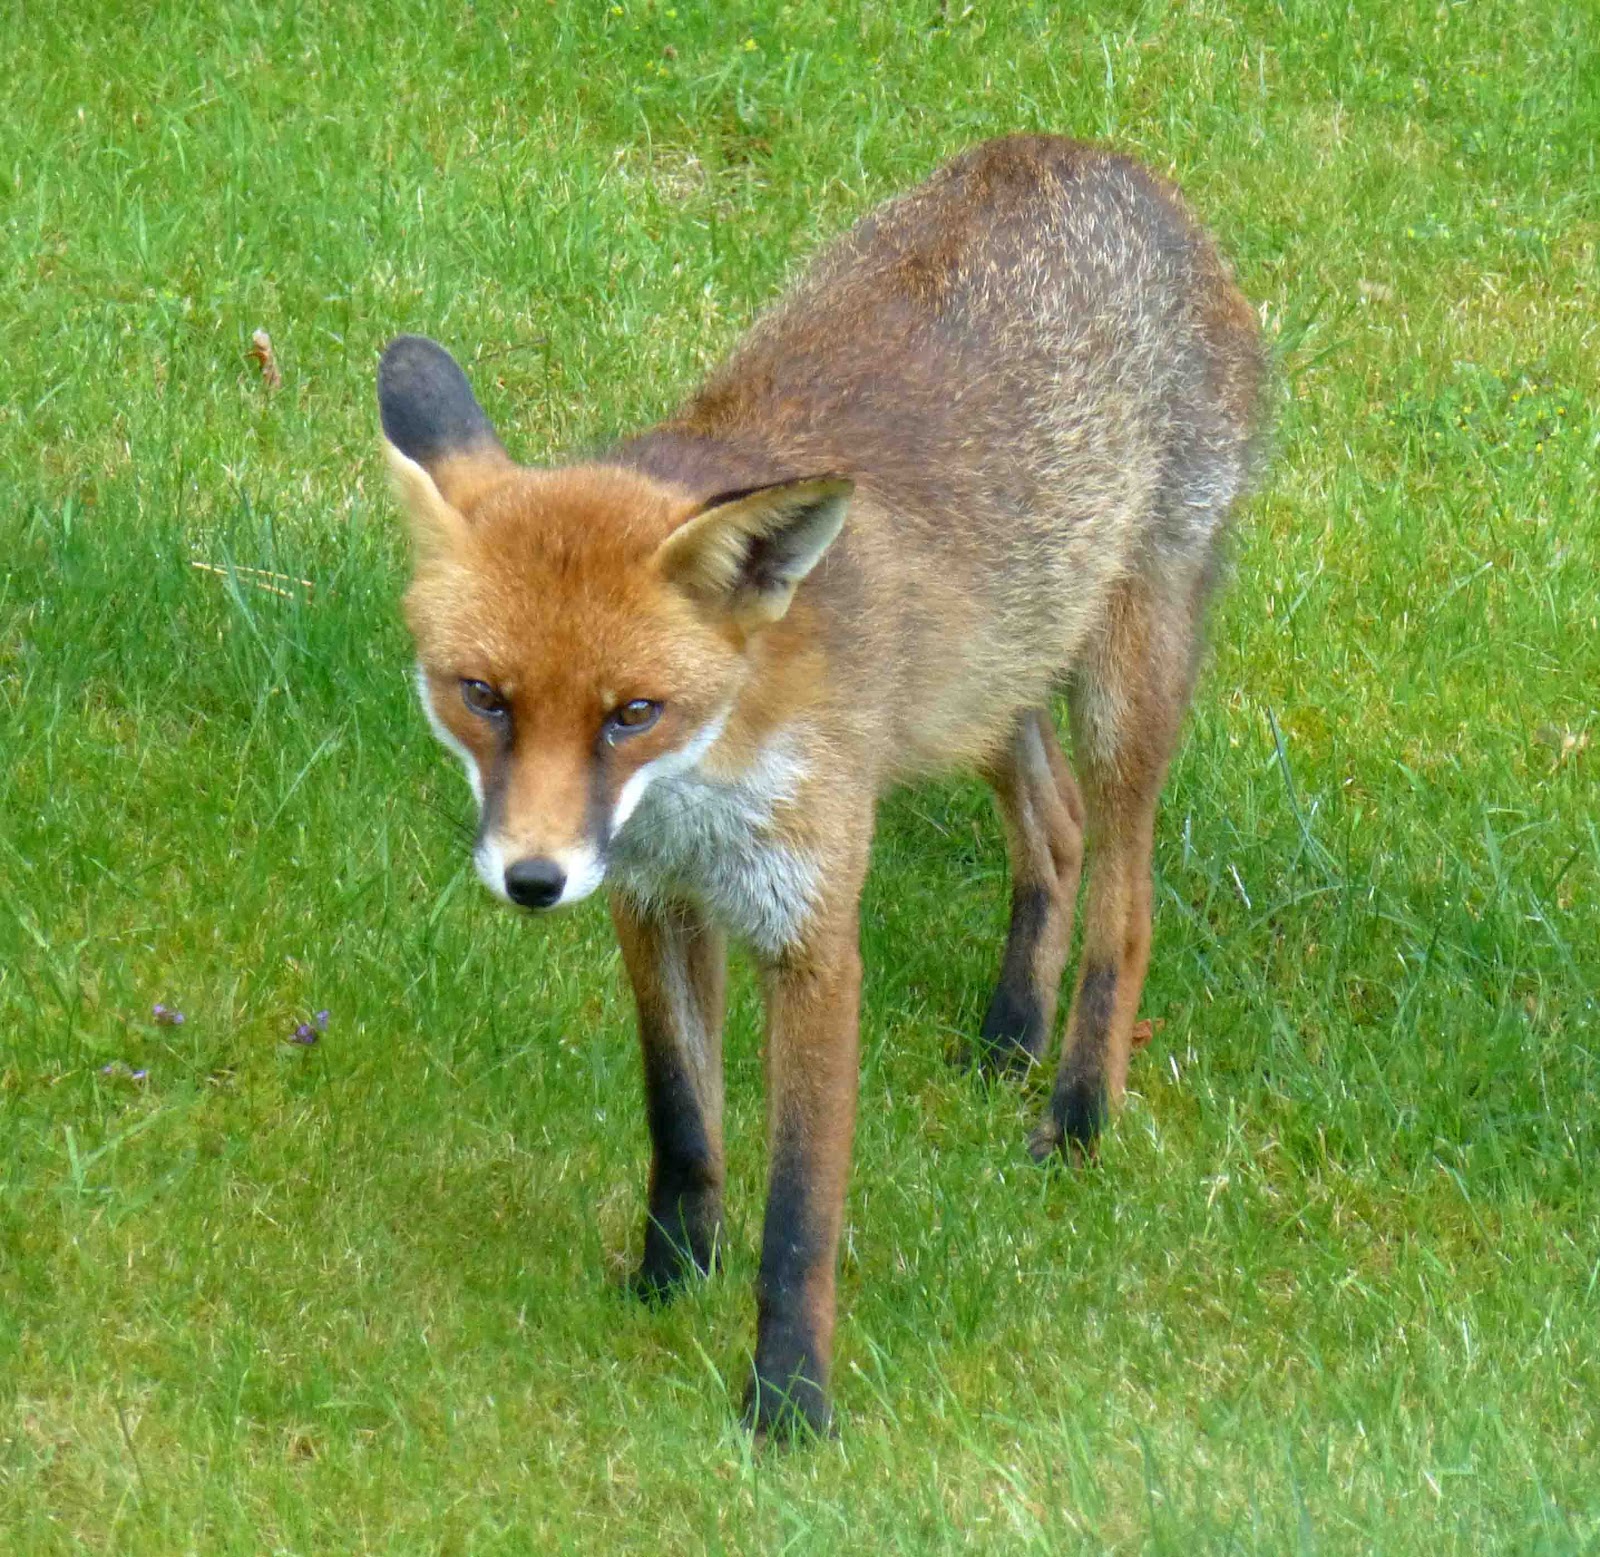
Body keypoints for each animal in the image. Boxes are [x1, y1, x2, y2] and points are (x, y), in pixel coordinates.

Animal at [378, 135, 1264, 1437]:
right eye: (482, 696)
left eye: (632, 714)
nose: (534, 880)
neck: (699, 796)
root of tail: (1087, 156)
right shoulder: (655, 905)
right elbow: (684, 1126)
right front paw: (665, 1283)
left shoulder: (810, 936)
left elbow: (800, 1214)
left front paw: (789, 1404)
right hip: (974, 691)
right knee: (1050, 834)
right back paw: (1010, 1030)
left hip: (1118, 686)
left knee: (1124, 894)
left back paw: (1075, 1112)